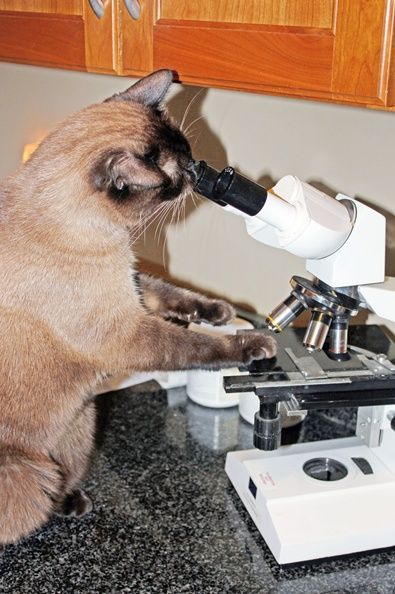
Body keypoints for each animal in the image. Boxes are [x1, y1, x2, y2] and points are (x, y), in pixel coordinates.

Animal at [0, 67, 278, 544]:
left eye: (190, 157)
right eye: (179, 172)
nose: (198, 173)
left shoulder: (131, 286)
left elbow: (173, 294)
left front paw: (221, 312)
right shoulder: (126, 332)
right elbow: (195, 348)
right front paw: (253, 342)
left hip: (79, 424)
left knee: (62, 480)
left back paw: (73, 503)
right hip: (27, 472)